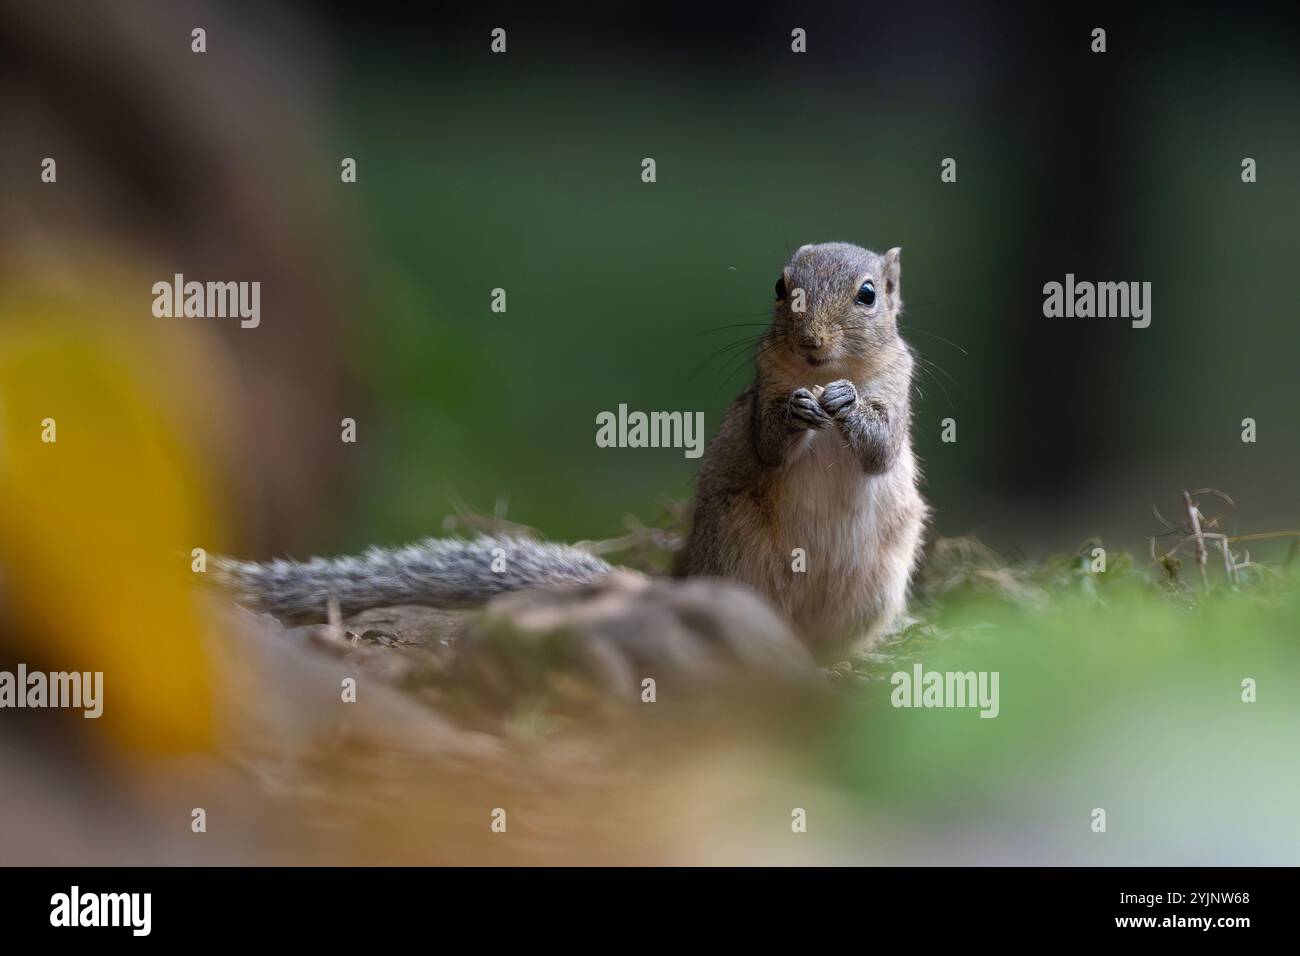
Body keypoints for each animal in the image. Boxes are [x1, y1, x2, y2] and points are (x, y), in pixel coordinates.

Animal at [215, 242, 926, 651]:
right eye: (780, 287)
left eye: (868, 295)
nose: (812, 344)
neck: (823, 372)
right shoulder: (761, 393)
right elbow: (770, 444)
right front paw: (801, 410)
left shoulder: (899, 390)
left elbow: (881, 450)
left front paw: (848, 405)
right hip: (740, 555)